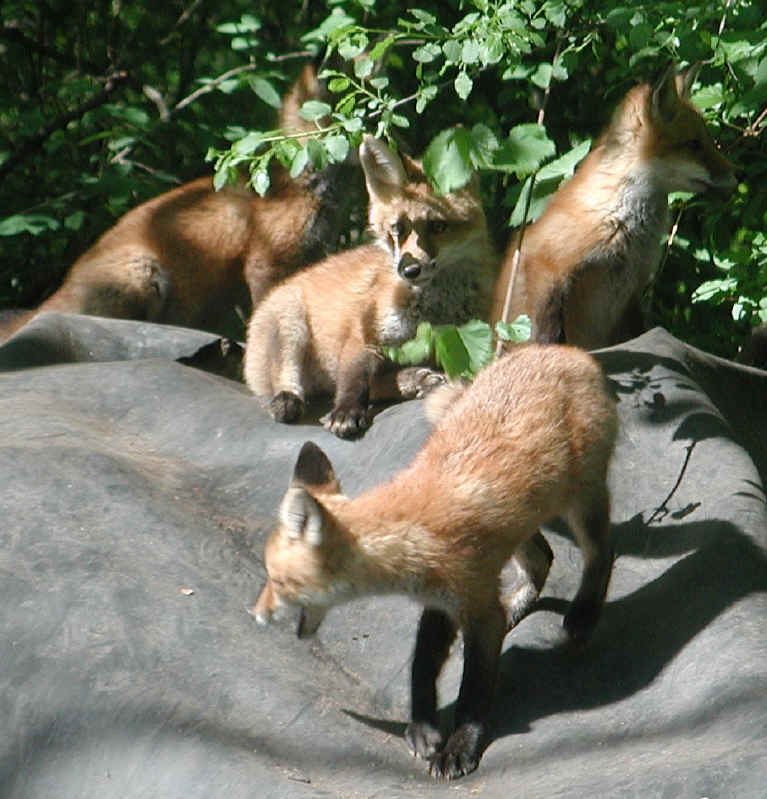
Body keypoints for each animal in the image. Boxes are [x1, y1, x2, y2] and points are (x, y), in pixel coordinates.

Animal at [243, 134, 499, 438]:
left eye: (438, 227)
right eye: (397, 230)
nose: (408, 270)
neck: (433, 309)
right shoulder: (366, 331)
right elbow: (354, 381)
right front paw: (345, 412)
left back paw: (412, 379)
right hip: (290, 324)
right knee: (290, 382)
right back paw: (286, 400)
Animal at [253, 343, 618, 779]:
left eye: (278, 581)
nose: (256, 615)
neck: (410, 537)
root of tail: (562, 350)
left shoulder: (475, 606)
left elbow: (474, 689)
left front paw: (461, 745)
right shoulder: (441, 602)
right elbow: (421, 667)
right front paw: (423, 728)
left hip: (581, 503)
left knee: (602, 553)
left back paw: (584, 614)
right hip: (520, 523)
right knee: (543, 558)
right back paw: (518, 606)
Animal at [491, 63, 737, 349]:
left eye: (706, 140)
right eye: (695, 144)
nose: (739, 175)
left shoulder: (631, 292)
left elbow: (640, 335)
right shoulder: (543, 266)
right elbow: (546, 337)